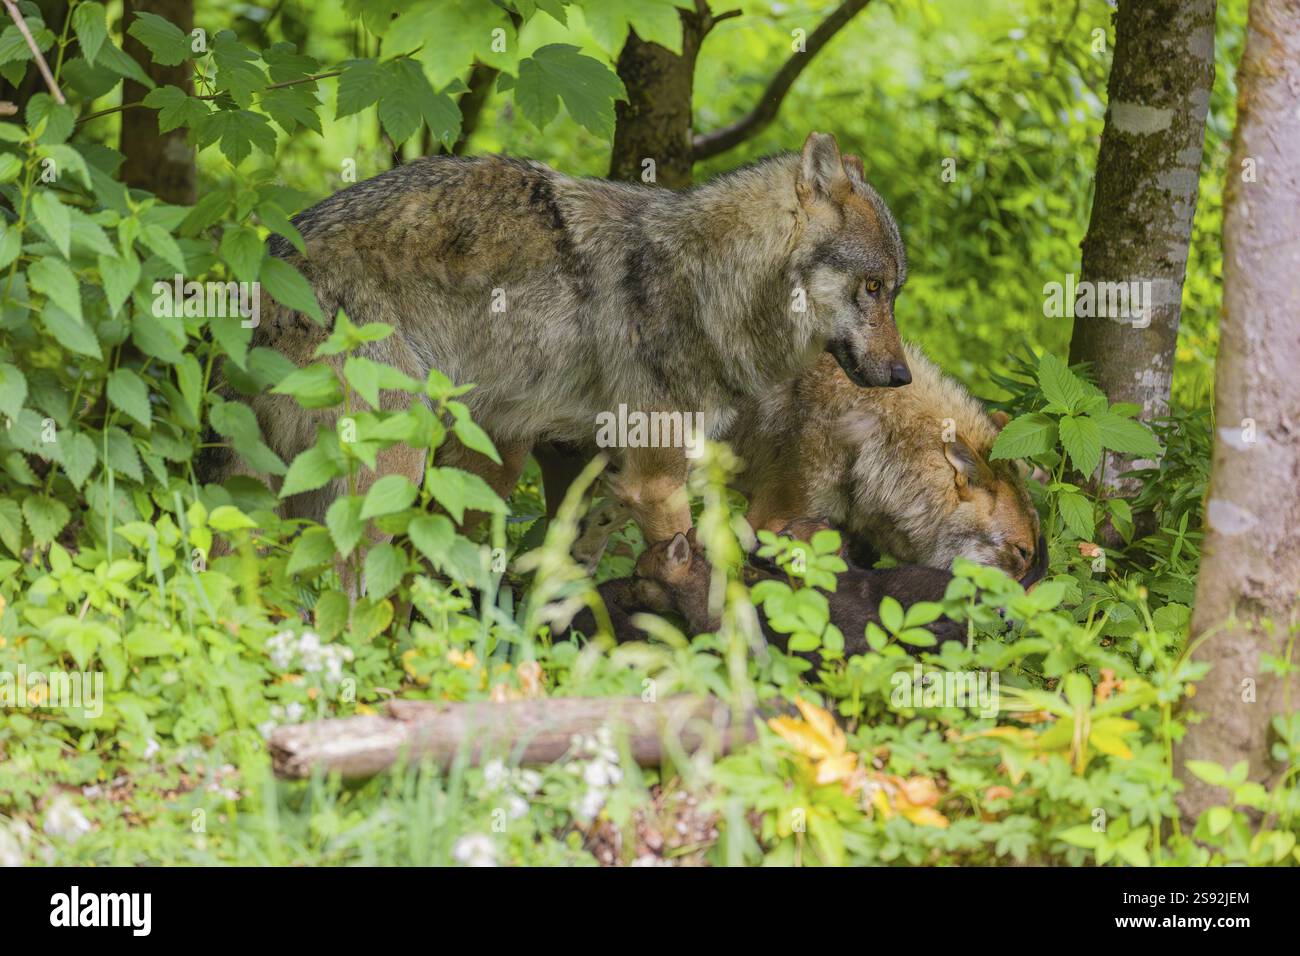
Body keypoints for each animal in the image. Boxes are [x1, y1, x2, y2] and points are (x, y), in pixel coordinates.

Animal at [211, 133, 910, 545]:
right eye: (872, 287)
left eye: (894, 291)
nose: (903, 378)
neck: (705, 283)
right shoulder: (655, 481)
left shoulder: (573, 463)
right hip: (395, 464)